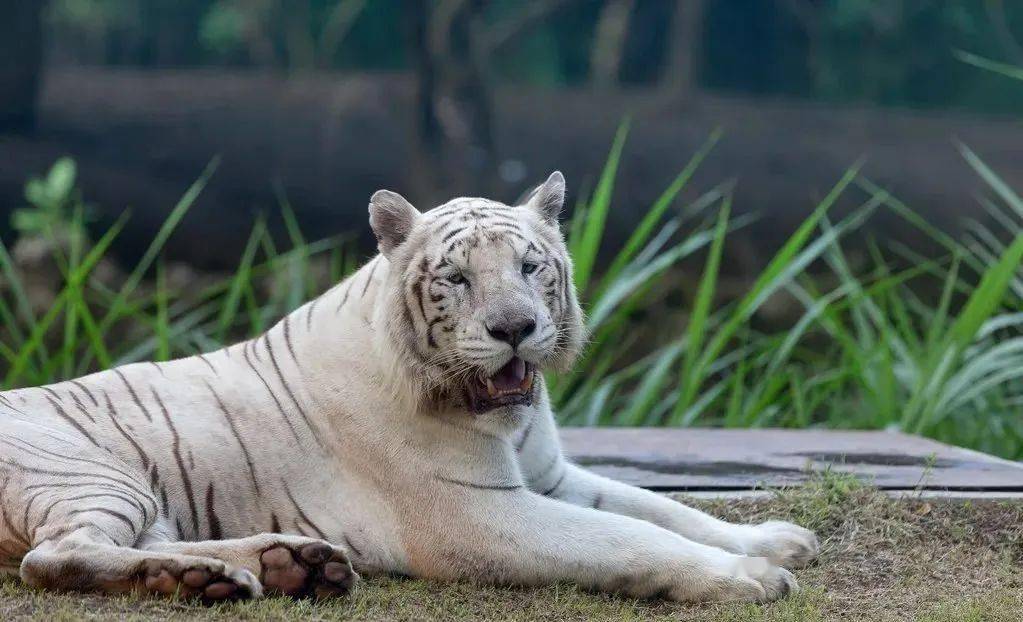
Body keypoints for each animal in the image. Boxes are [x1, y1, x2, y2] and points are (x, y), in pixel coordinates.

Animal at [0, 171, 818, 603]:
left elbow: (659, 507)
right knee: (56, 556)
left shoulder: (549, 477)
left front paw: (776, 541)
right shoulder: (480, 515)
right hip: (93, 474)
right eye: (455, 279)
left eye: (530, 266)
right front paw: (748, 576)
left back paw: (275, 565)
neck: (503, 419)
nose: (515, 328)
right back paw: (206, 577)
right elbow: (630, 537)